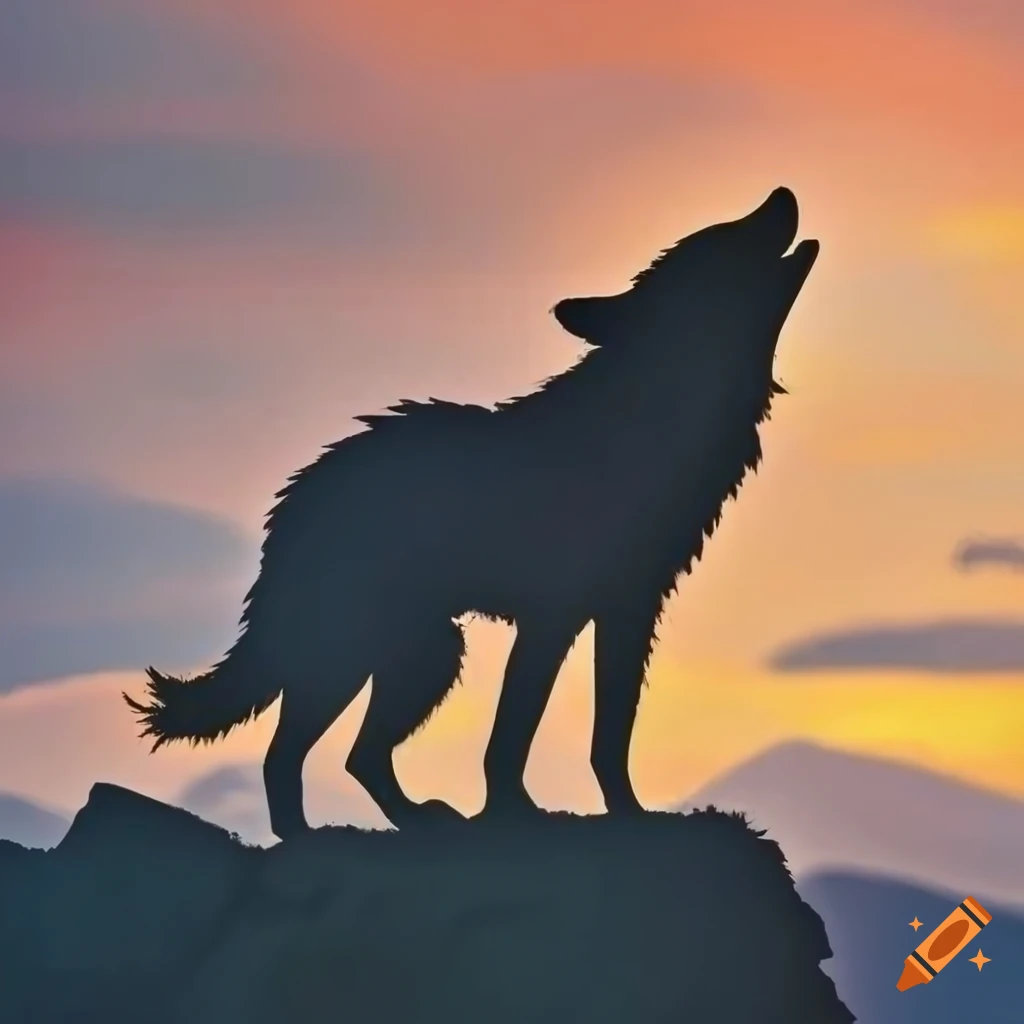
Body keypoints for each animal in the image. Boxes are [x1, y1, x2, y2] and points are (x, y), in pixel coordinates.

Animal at [125, 187, 819, 840]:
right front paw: (515, 814)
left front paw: (627, 814)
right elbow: (513, 735)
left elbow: (609, 734)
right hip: (371, 656)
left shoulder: (627, 612)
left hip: (420, 656)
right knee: (289, 756)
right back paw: (312, 837)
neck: (653, 416)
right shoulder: (553, 616)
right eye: (724, 238)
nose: (782, 192)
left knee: (354, 756)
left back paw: (418, 821)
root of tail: (294, 501)